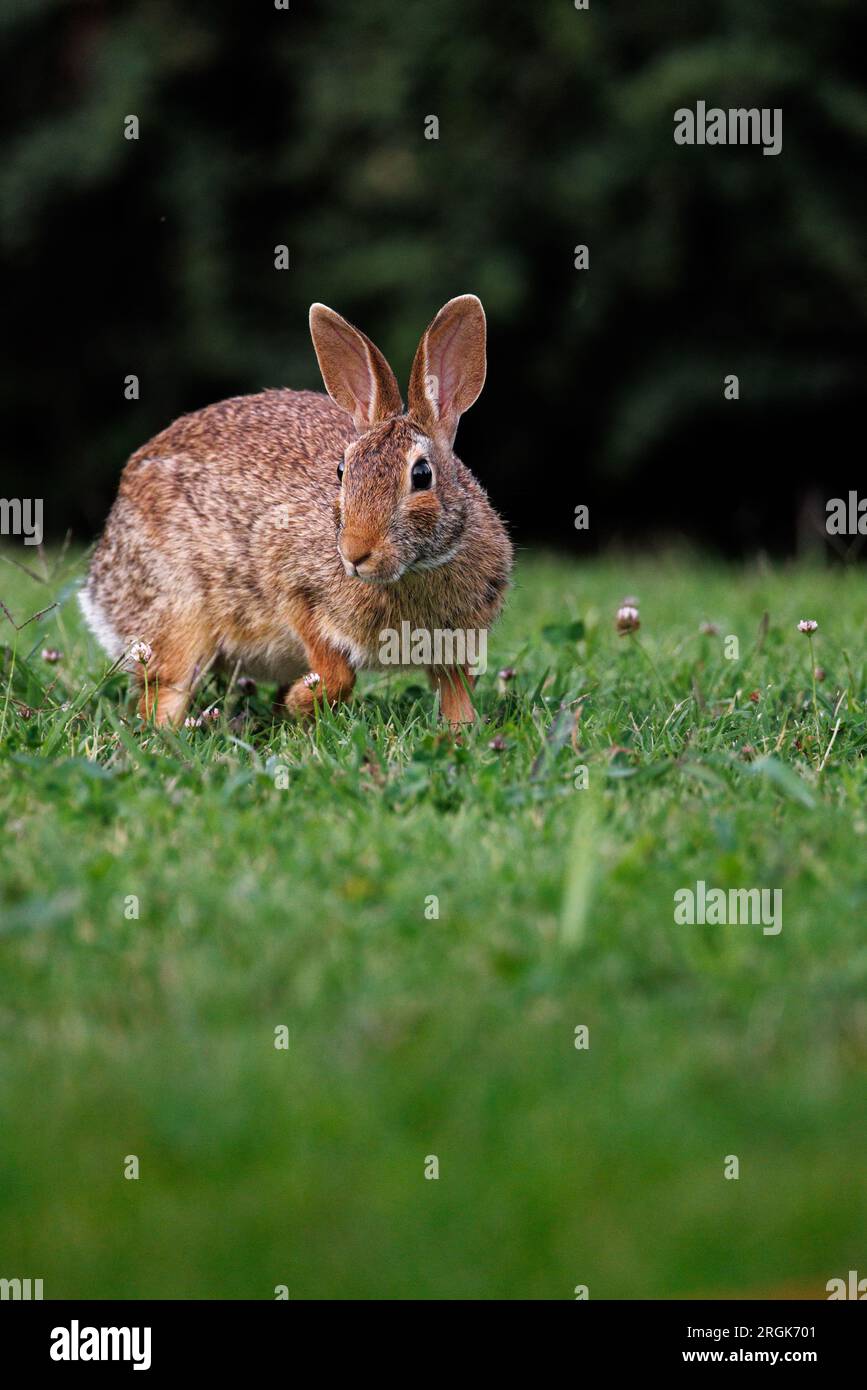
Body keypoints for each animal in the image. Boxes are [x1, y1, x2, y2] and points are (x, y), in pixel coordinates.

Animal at [79, 294, 513, 727]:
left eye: (421, 475)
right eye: (342, 471)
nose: (354, 553)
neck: (415, 569)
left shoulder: (455, 643)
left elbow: (455, 693)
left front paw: (461, 730)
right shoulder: (293, 584)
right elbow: (335, 671)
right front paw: (302, 701)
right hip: (177, 614)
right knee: (164, 689)